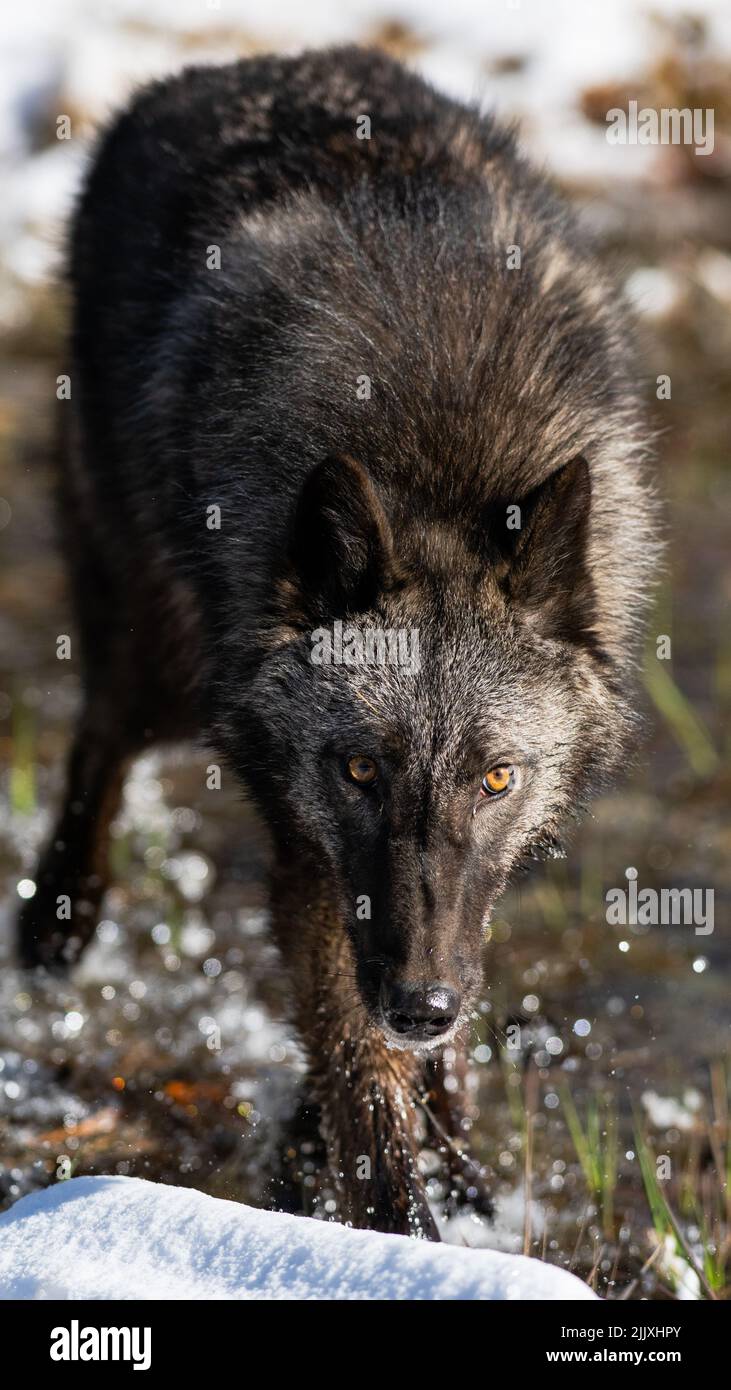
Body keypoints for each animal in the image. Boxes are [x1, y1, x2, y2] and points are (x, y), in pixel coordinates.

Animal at [19, 46, 656, 1238]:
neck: (436, 471)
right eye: (358, 769)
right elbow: (364, 1082)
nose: (421, 1003)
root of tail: (235, 66)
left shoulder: (449, 903)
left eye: (497, 778)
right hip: (158, 654)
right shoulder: (313, 856)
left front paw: (427, 1161)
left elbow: (403, 1040)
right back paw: (54, 927)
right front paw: (407, 1238)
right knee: (100, 740)